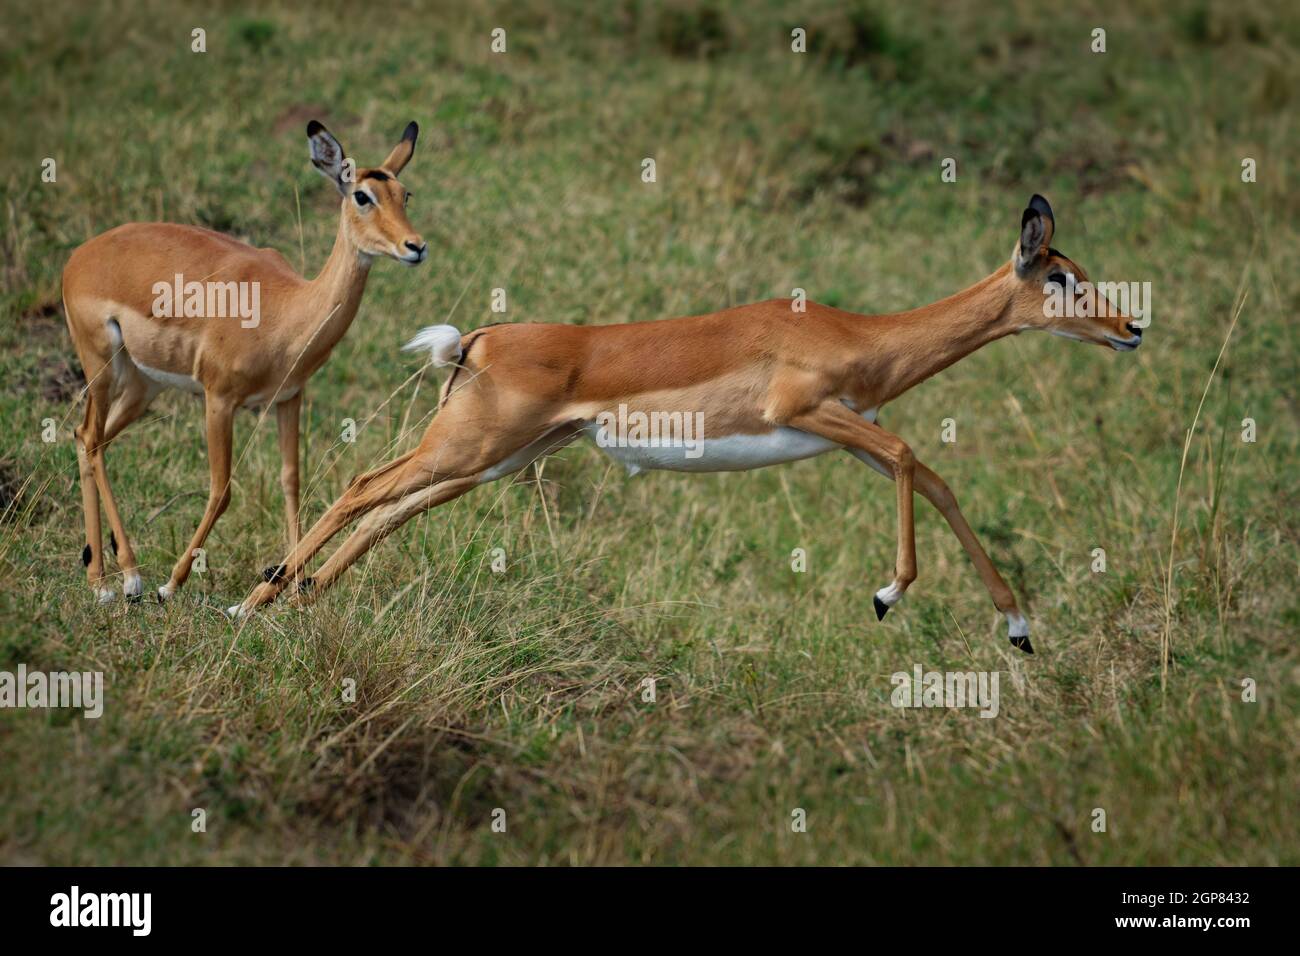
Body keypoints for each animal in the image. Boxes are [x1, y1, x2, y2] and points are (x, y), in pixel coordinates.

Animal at [62, 120, 426, 604]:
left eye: (405, 193)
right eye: (362, 196)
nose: (415, 246)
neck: (286, 311)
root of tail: (78, 257)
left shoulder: (288, 399)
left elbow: (291, 483)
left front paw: (285, 584)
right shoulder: (219, 399)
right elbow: (221, 490)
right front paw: (171, 584)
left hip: (142, 385)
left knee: (86, 437)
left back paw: (100, 578)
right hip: (101, 364)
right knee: (92, 440)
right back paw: (126, 580)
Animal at [232, 195, 1142, 652]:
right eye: (1060, 275)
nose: (1131, 327)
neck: (857, 335)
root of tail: (480, 340)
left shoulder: (848, 433)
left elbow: (937, 481)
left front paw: (1019, 629)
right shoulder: (815, 413)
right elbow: (917, 457)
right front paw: (886, 596)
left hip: (488, 461)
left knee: (387, 513)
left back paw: (290, 600)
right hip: (468, 448)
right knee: (362, 487)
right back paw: (251, 603)